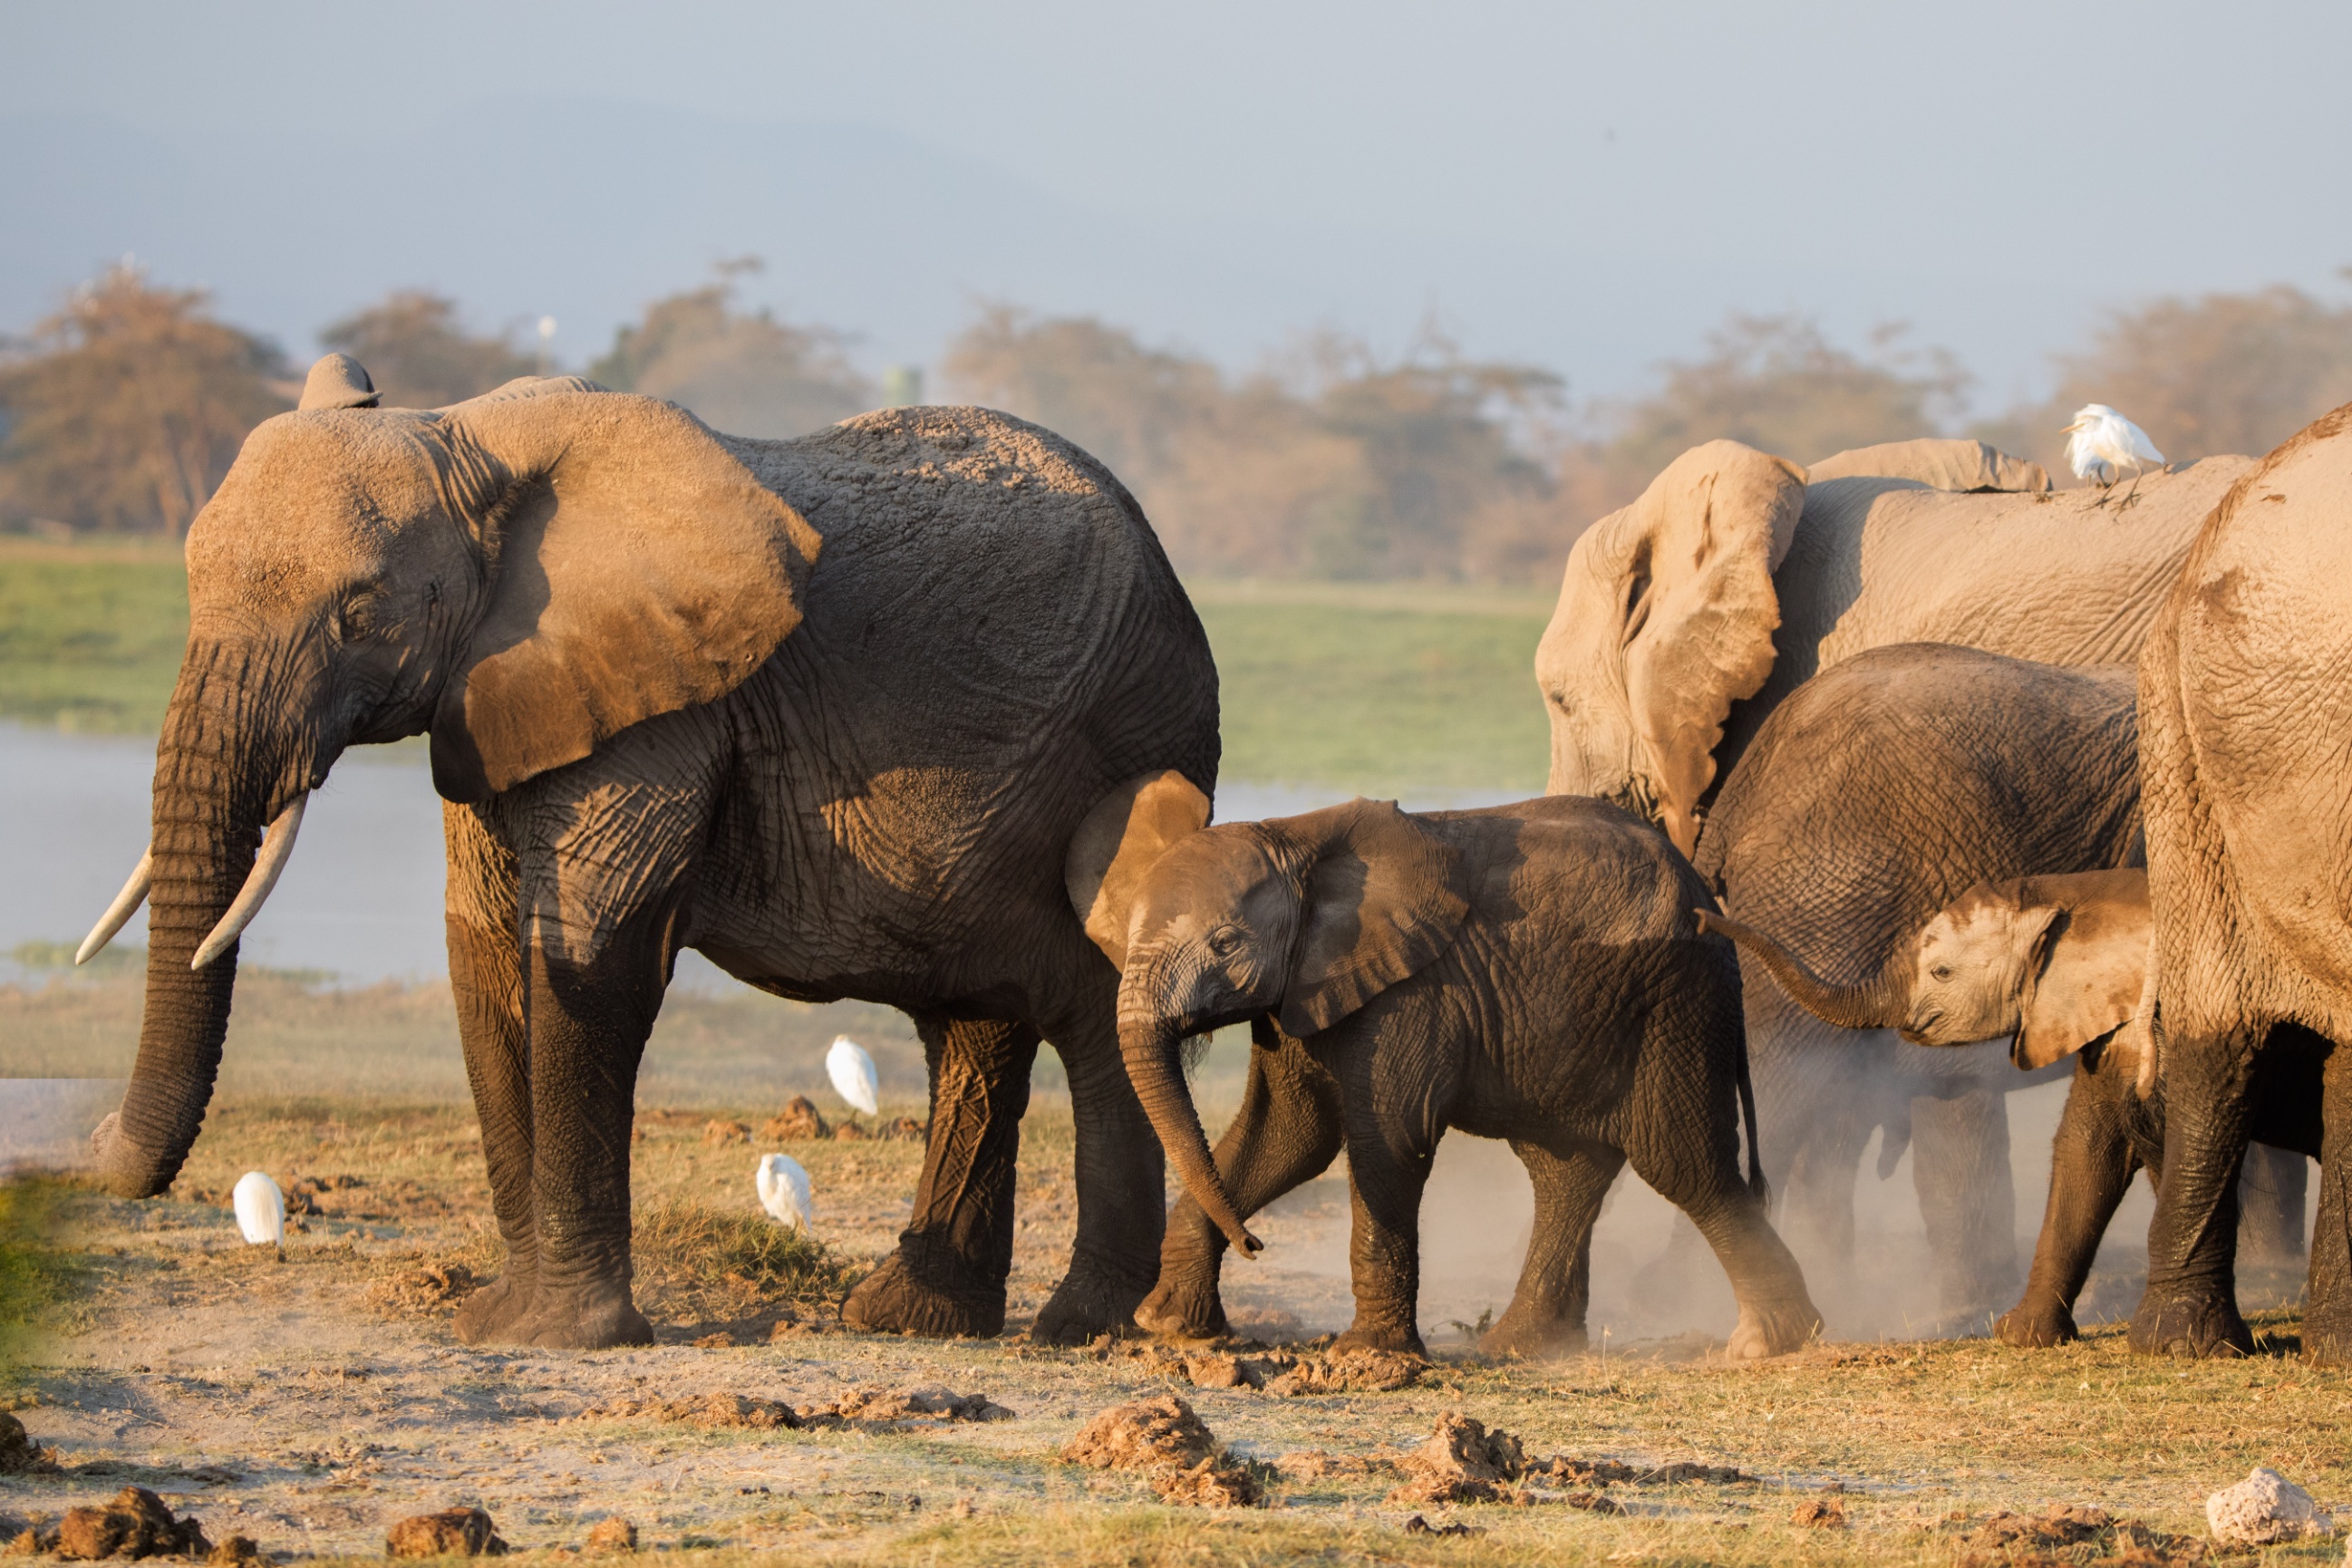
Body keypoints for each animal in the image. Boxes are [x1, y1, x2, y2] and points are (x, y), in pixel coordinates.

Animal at [78, 353, 1221, 1349]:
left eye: (359, 610)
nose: (90, 1148)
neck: (471, 437)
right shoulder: (497, 691)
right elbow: (484, 956)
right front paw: (495, 1323)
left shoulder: (663, 707)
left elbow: (588, 951)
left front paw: (562, 1337)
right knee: (974, 1027)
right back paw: (910, 1317)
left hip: (1129, 742)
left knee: (1086, 1010)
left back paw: (1083, 1326)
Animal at [1060, 775, 1822, 1360]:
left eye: (1224, 943)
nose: (1254, 1244)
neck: (1295, 839)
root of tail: (1708, 895)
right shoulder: (1300, 993)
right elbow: (1288, 1137)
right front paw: (1168, 1327)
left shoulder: (1411, 990)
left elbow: (1385, 1141)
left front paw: (1366, 1356)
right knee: (1564, 1169)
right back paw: (1521, 1346)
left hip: (1676, 1001)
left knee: (1680, 1162)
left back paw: (1768, 1342)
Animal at [1704, 868, 2316, 1347]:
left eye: (1941, 972)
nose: (1703, 916)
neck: (2082, 893)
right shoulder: (2095, 1012)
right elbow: (2087, 1144)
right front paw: (2023, 1336)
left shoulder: (2165, 1016)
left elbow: (2159, 1136)